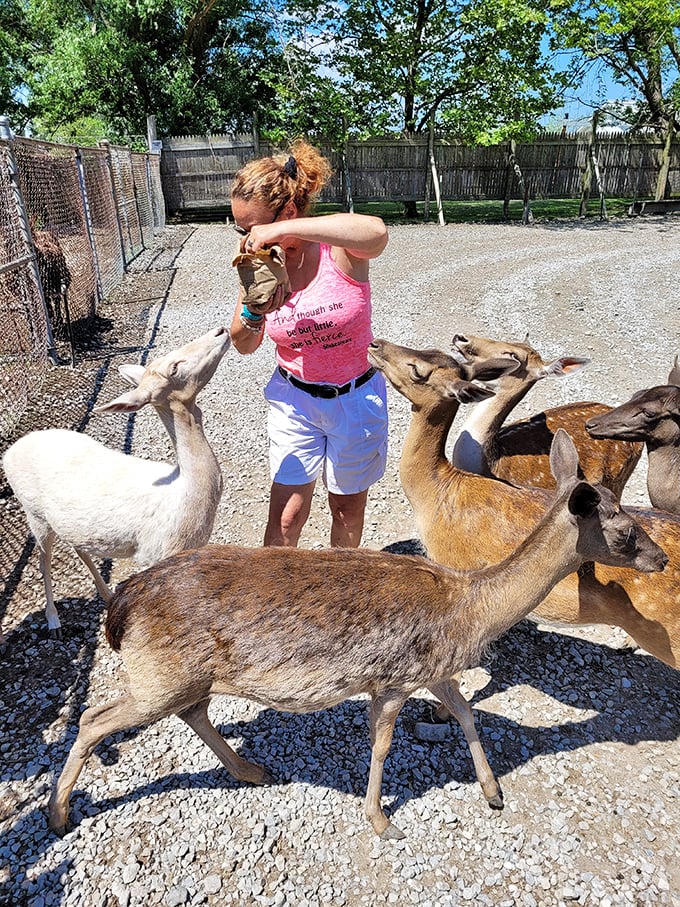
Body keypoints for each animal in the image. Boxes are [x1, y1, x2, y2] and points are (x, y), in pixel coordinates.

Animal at [2, 326, 231, 639]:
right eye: (174, 368)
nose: (221, 331)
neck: (184, 493)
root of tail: (10, 452)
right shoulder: (155, 553)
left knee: (79, 547)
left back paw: (107, 594)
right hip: (34, 514)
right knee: (42, 559)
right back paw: (54, 621)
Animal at [47, 429, 665, 842]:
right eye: (626, 530)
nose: (659, 559)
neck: (470, 611)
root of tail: (121, 606)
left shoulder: (435, 672)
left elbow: (466, 714)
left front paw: (493, 793)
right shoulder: (394, 677)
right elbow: (383, 742)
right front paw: (381, 820)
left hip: (185, 675)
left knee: (191, 712)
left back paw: (250, 770)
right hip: (159, 674)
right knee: (94, 716)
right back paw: (57, 814)